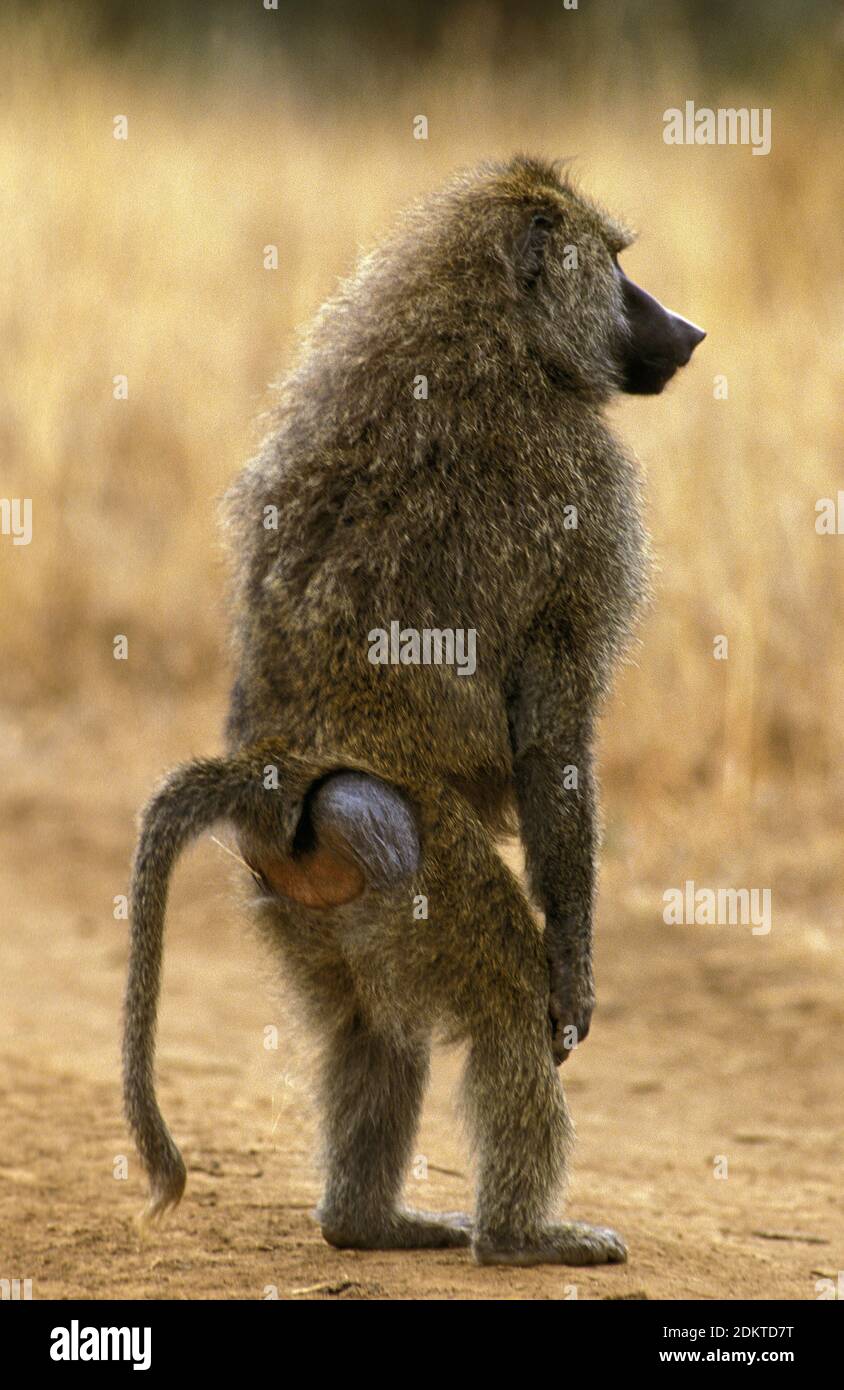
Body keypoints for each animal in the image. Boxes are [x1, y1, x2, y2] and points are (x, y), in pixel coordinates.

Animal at [123, 155, 705, 1265]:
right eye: (614, 265)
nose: (687, 329)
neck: (493, 332)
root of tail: (275, 768)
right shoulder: (591, 492)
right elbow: (555, 741)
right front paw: (577, 979)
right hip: (428, 862)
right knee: (507, 999)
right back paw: (524, 1238)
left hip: (320, 903)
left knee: (371, 1029)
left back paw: (367, 1224)